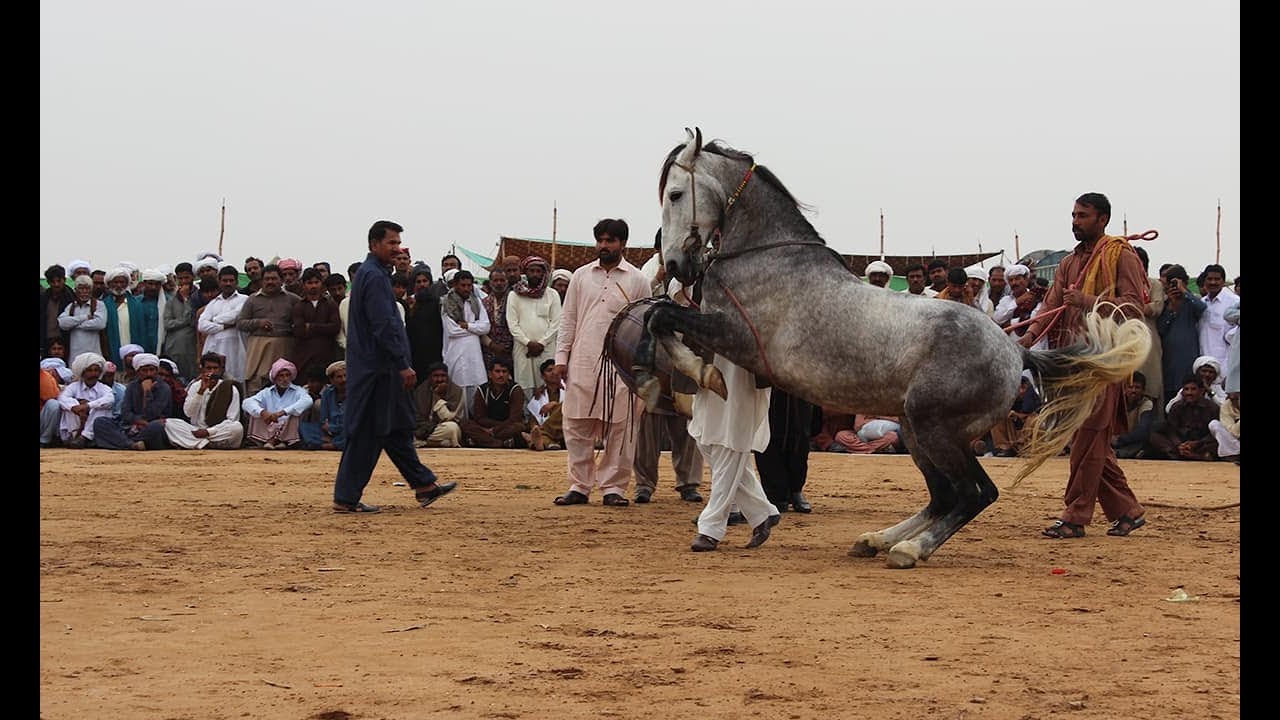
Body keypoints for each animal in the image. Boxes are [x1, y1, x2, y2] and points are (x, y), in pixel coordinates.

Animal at [631, 128, 1150, 569]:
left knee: (975, 494)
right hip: (918, 432)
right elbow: (660, 314)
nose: (675, 263)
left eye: (675, 194)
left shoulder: (738, 337)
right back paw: (877, 539)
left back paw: (909, 550)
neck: (770, 258)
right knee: (944, 497)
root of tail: (1013, 351)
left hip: (935, 427)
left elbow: (662, 316)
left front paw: (693, 379)